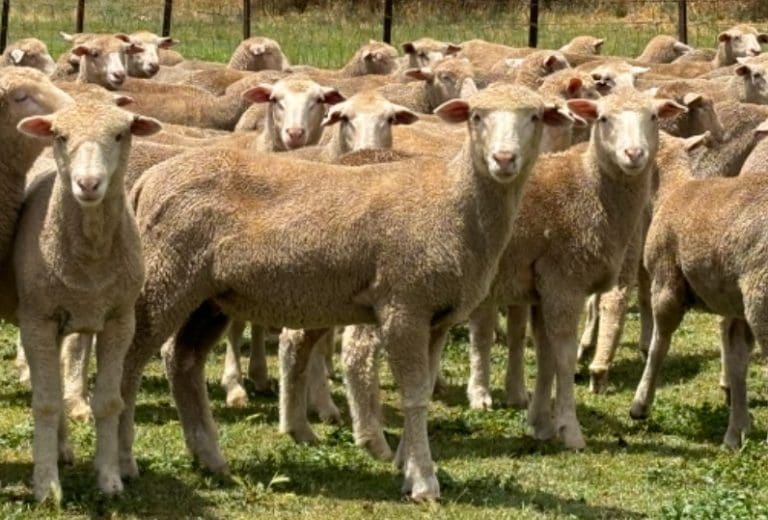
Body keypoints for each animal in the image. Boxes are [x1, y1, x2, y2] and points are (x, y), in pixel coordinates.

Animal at [13, 103, 161, 502]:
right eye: (61, 136)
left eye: (120, 134)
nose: (89, 184)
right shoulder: (37, 319)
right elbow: (45, 402)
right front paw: (46, 485)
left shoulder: (120, 319)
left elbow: (108, 402)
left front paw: (109, 478)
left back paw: (63, 449)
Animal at [115, 84, 572, 501]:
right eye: (476, 117)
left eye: (535, 117)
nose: (504, 159)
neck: (455, 203)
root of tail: (146, 183)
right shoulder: (403, 304)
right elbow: (412, 396)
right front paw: (424, 482)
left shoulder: (437, 315)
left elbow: (423, 390)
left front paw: (407, 465)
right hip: (166, 278)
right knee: (129, 361)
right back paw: (123, 462)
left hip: (210, 297)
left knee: (182, 361)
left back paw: (209, 457)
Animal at [628, 131, 768, 449]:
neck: (673, 190)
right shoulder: (735, 305)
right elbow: (737, 362)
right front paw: (737, 430)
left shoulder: (666, 284)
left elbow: (659, 344)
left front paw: (640, 404)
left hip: (761, 298)